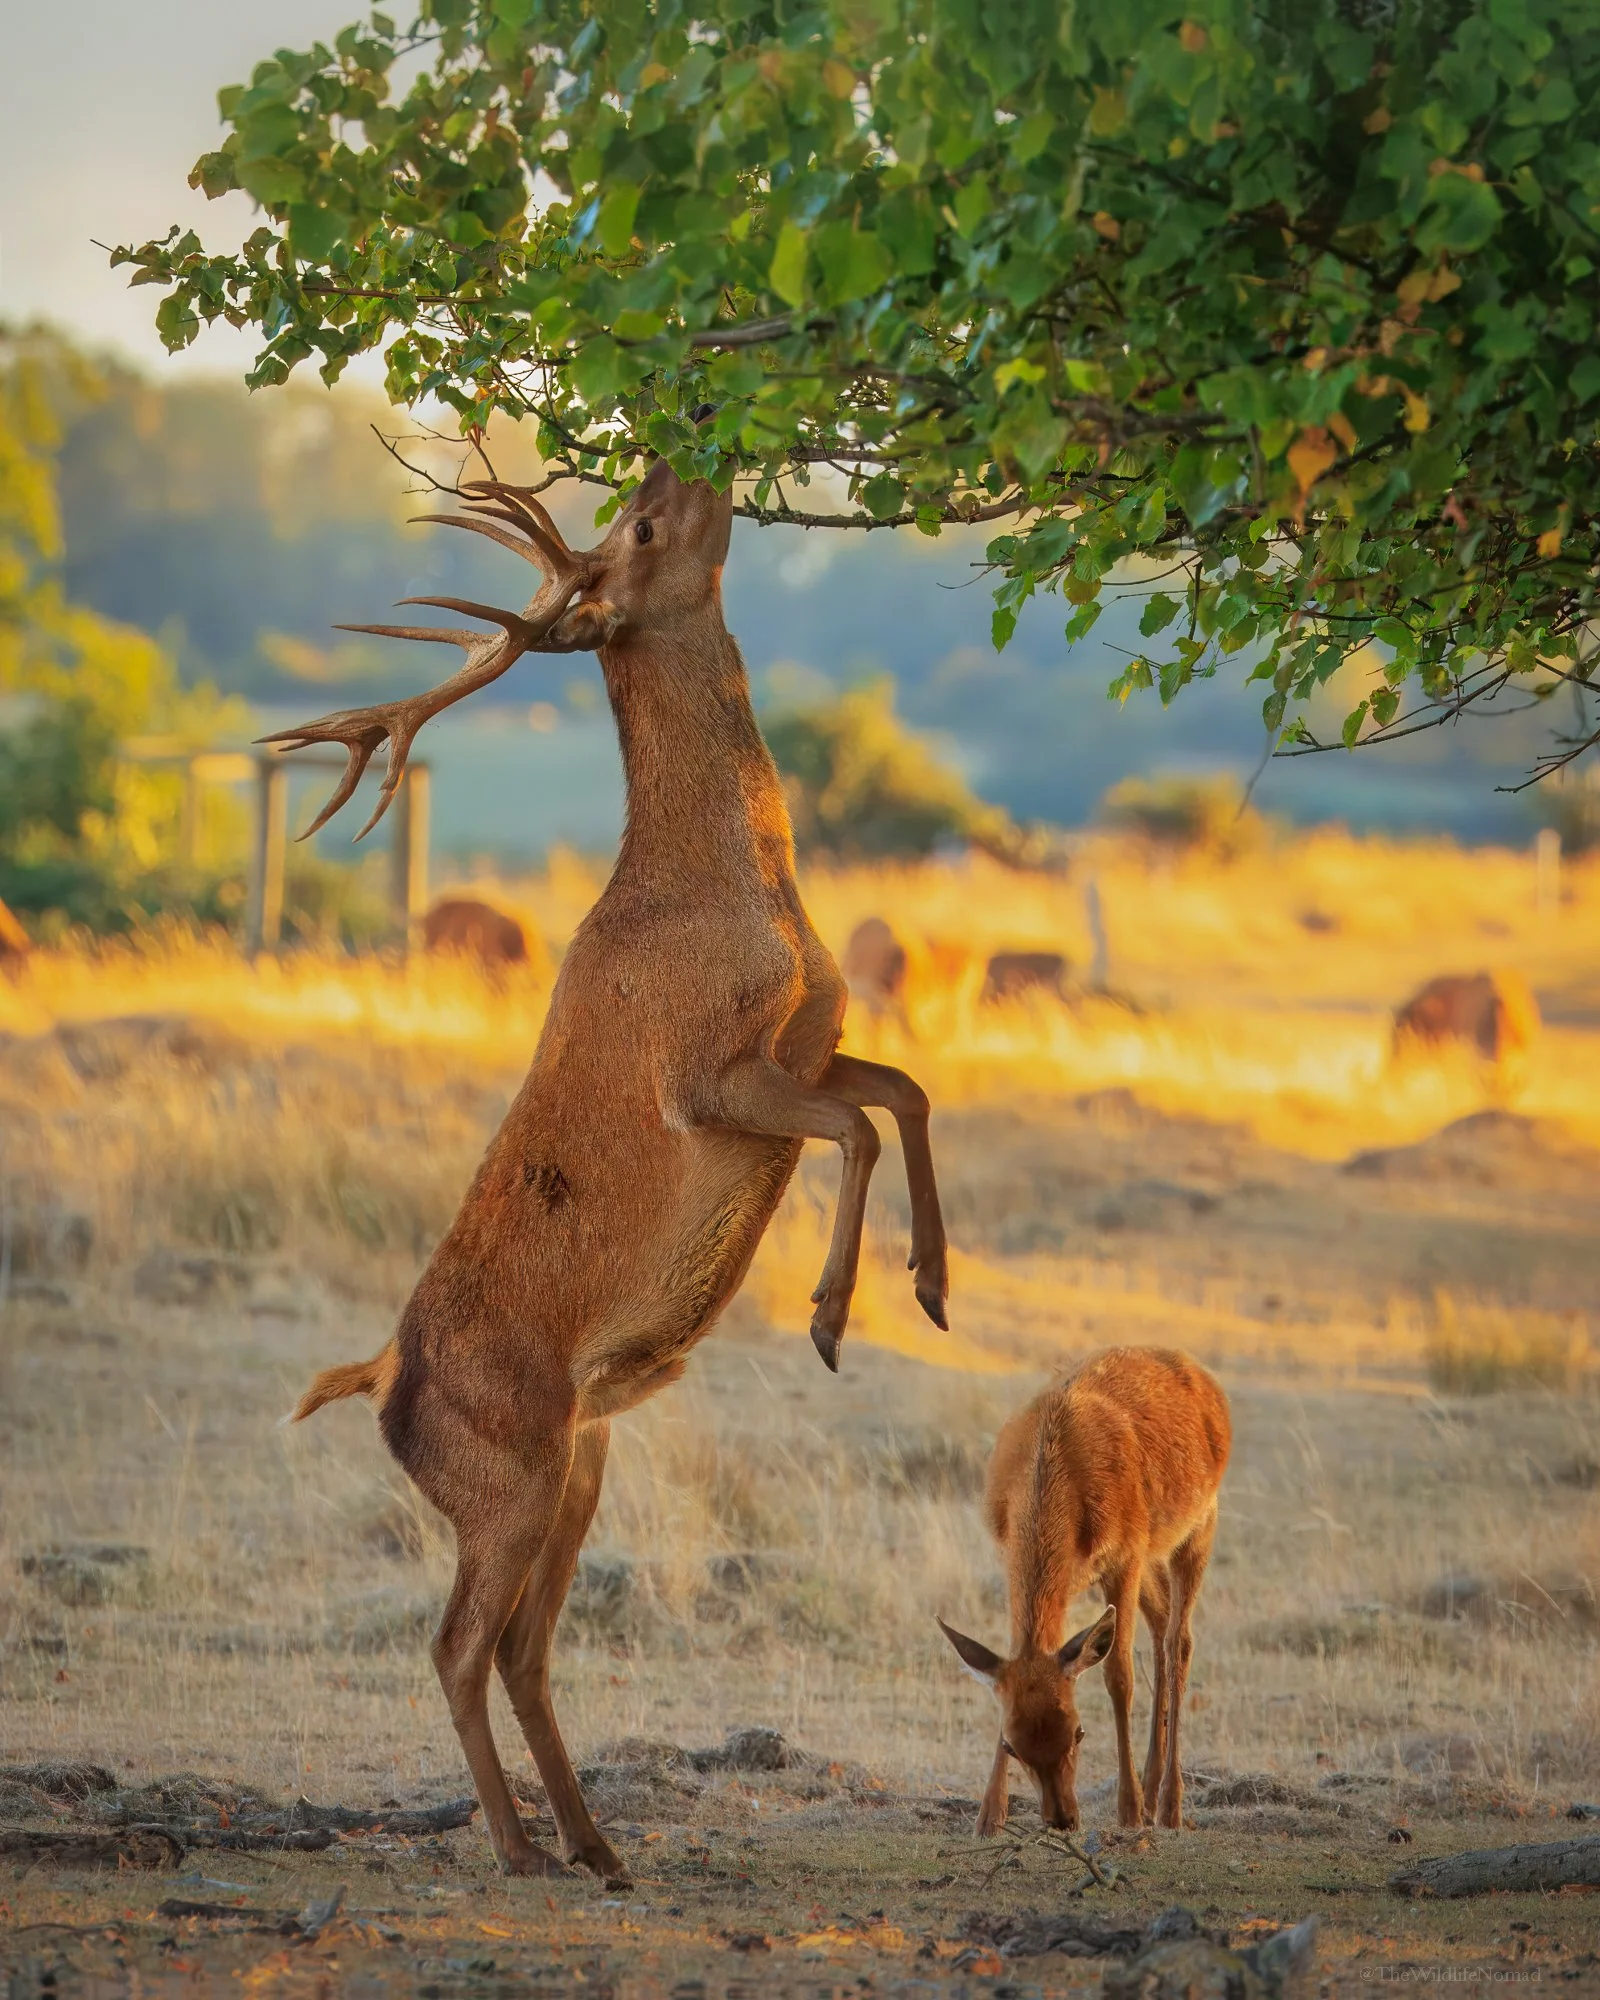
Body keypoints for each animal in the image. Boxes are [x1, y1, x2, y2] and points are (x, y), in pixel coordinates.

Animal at [272, 458, 950, 1885]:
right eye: (642, 523)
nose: (696, 459)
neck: (743, 894)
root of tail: (380, 1381)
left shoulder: (807, 1042)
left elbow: (902, 1092)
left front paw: (930, 1284)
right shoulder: (710, 1077)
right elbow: (861, 1125)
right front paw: (829, 1314)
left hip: (576, 1460)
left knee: (525, 1648)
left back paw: (596, 1843)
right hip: (505, 1476)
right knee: (457, 1644)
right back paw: (522, 1849)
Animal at [939, 1346, 1230, 1834]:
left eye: (1078, 1731)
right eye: (1011, 1745)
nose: (1062, 1819)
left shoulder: (1124, 1556)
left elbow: (1119, 1675)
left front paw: (1129, 1810)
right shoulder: (1007, 1553)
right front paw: (988, 1816)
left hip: (1200, 1521)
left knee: (1179, 1639)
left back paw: (1167, 1805)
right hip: (1153, 1554)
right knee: (1161, 1620)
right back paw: (1154, 1786)